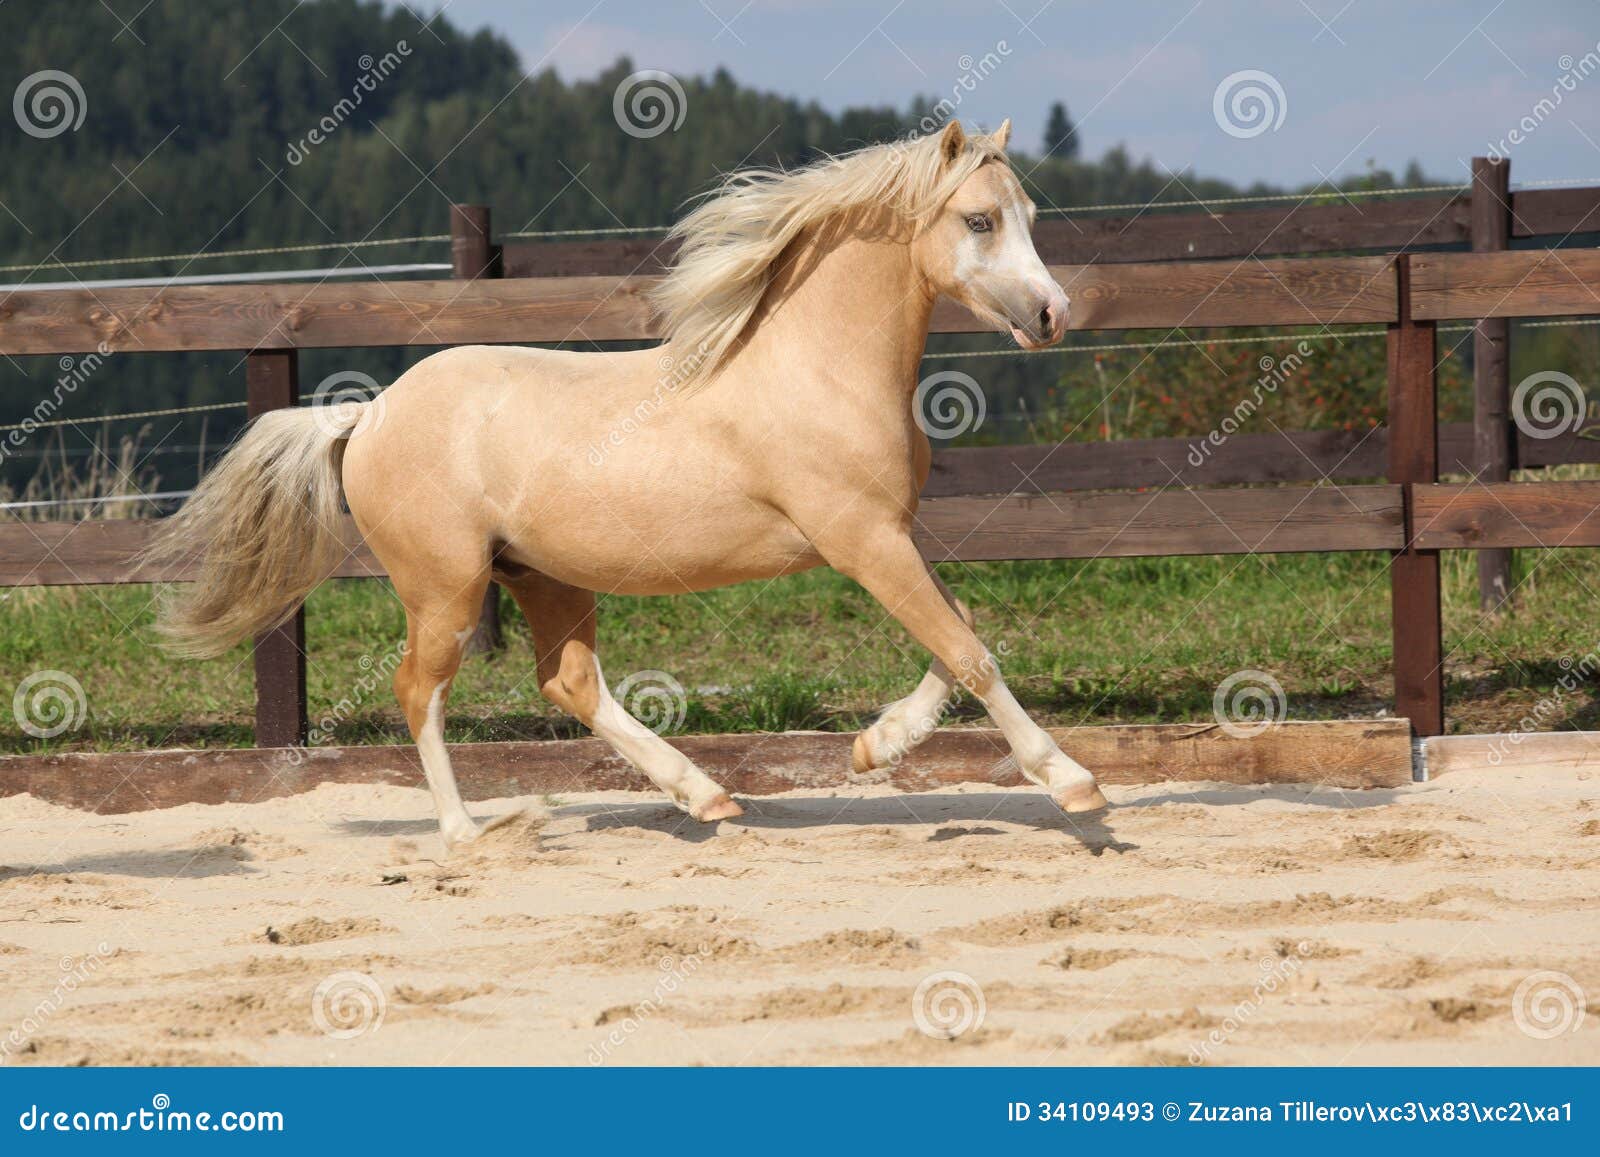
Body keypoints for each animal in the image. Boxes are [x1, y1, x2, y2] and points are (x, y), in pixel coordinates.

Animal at [147, 118, 1108, 849]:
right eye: (980, 220)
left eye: (1026, 213)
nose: (1054, 313)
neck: (815, 366)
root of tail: (365, 414)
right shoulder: (860, 539)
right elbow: (971, 652)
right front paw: (1074, 782)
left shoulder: (888, 534)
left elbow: (962, 631)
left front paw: (873, 748)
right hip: (444, 587)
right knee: (419, 689)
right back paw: (466, 832)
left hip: (543, 577)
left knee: (570, 684)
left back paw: (708, 795)